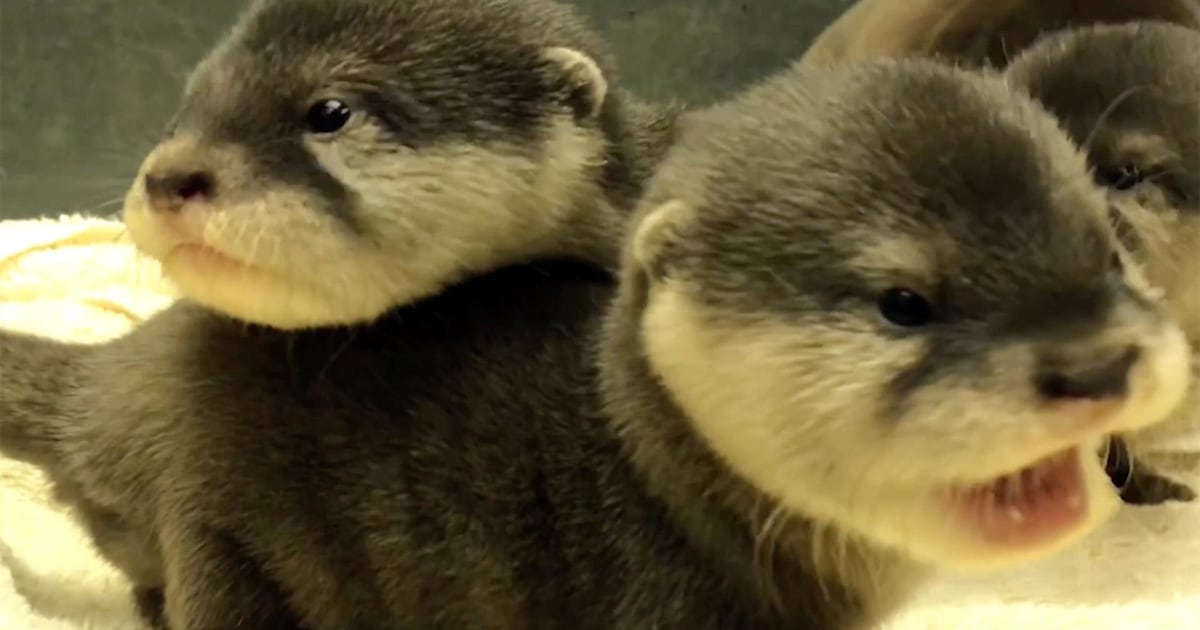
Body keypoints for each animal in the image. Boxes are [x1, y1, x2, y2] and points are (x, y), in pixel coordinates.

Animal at [1, 59, 1190, 629]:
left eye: (1102, 250)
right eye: (905, 302)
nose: (1095, 366)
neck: (668, 498)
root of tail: (116, 389)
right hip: (220, 534)